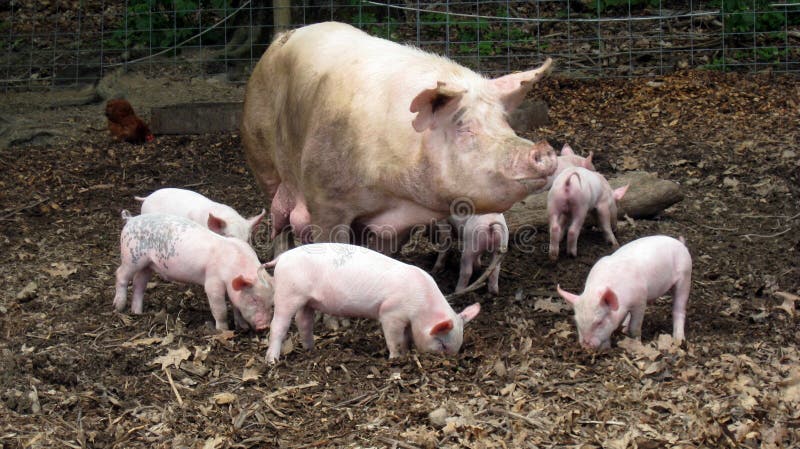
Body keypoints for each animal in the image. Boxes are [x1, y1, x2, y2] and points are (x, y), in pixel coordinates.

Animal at [113, 211, 273, 332]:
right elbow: (220, 309)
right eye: (254, 299)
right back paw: (119, 307)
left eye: (271, 303)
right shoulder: (212, 281)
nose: (264, 326)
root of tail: (130, 219)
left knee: (139, 284)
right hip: (131, 257)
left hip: (147, 264)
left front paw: (243, 327)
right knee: (120, 274)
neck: (234, 265)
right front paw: (223, 331)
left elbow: (236, 307)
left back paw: (137, 312)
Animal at [241, 21, 557, 254]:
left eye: (504, 122)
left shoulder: (398, 220)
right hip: (261, 156)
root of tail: (281, 38)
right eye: (464, 127)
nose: (543, 150)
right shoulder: (325, 198)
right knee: (279, 219)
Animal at [262, 243, 481, 363]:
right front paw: (396, 358)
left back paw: (311, 350)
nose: (449, 360)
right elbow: (394, 338)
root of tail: (281, 258)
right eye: (442, 344)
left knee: (304, 321)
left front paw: (407, 352)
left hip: (308, 300)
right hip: (288, 293)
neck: (422, 305)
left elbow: (407, 337)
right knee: (278, 325)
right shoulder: (390, 312)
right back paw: (272, 361)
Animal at [556, 235, 692, 350]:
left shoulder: (640, 299)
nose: (585, 346)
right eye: (577, 322)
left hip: (685, 276)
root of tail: (679, 243)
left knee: (679, 309)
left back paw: (679, 339)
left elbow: (635, 326)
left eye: (600, 322)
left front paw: (637, 342)